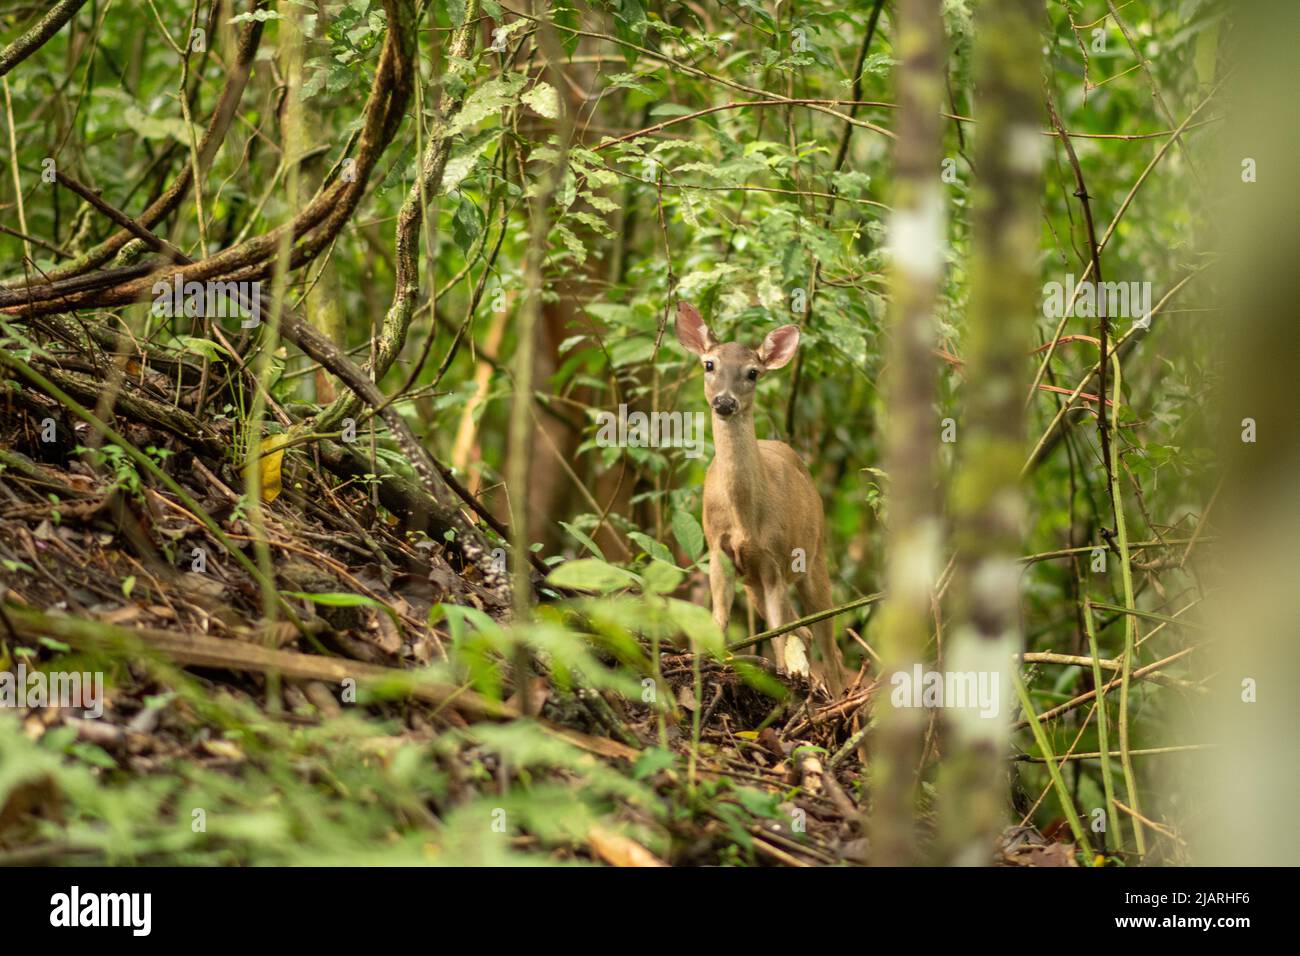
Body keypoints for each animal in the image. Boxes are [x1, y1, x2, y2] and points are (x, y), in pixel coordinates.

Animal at [675, 301, 846, 696]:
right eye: (709, 364)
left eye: (753, 372)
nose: (725, 401)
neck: (745, 520)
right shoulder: (719, 551)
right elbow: (720, 620)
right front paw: (716, 662)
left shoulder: (776, 558)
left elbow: (780, 634)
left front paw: (785, 679)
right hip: (753, 580)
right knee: (801, 630)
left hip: (814, 555)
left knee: (826, 639)